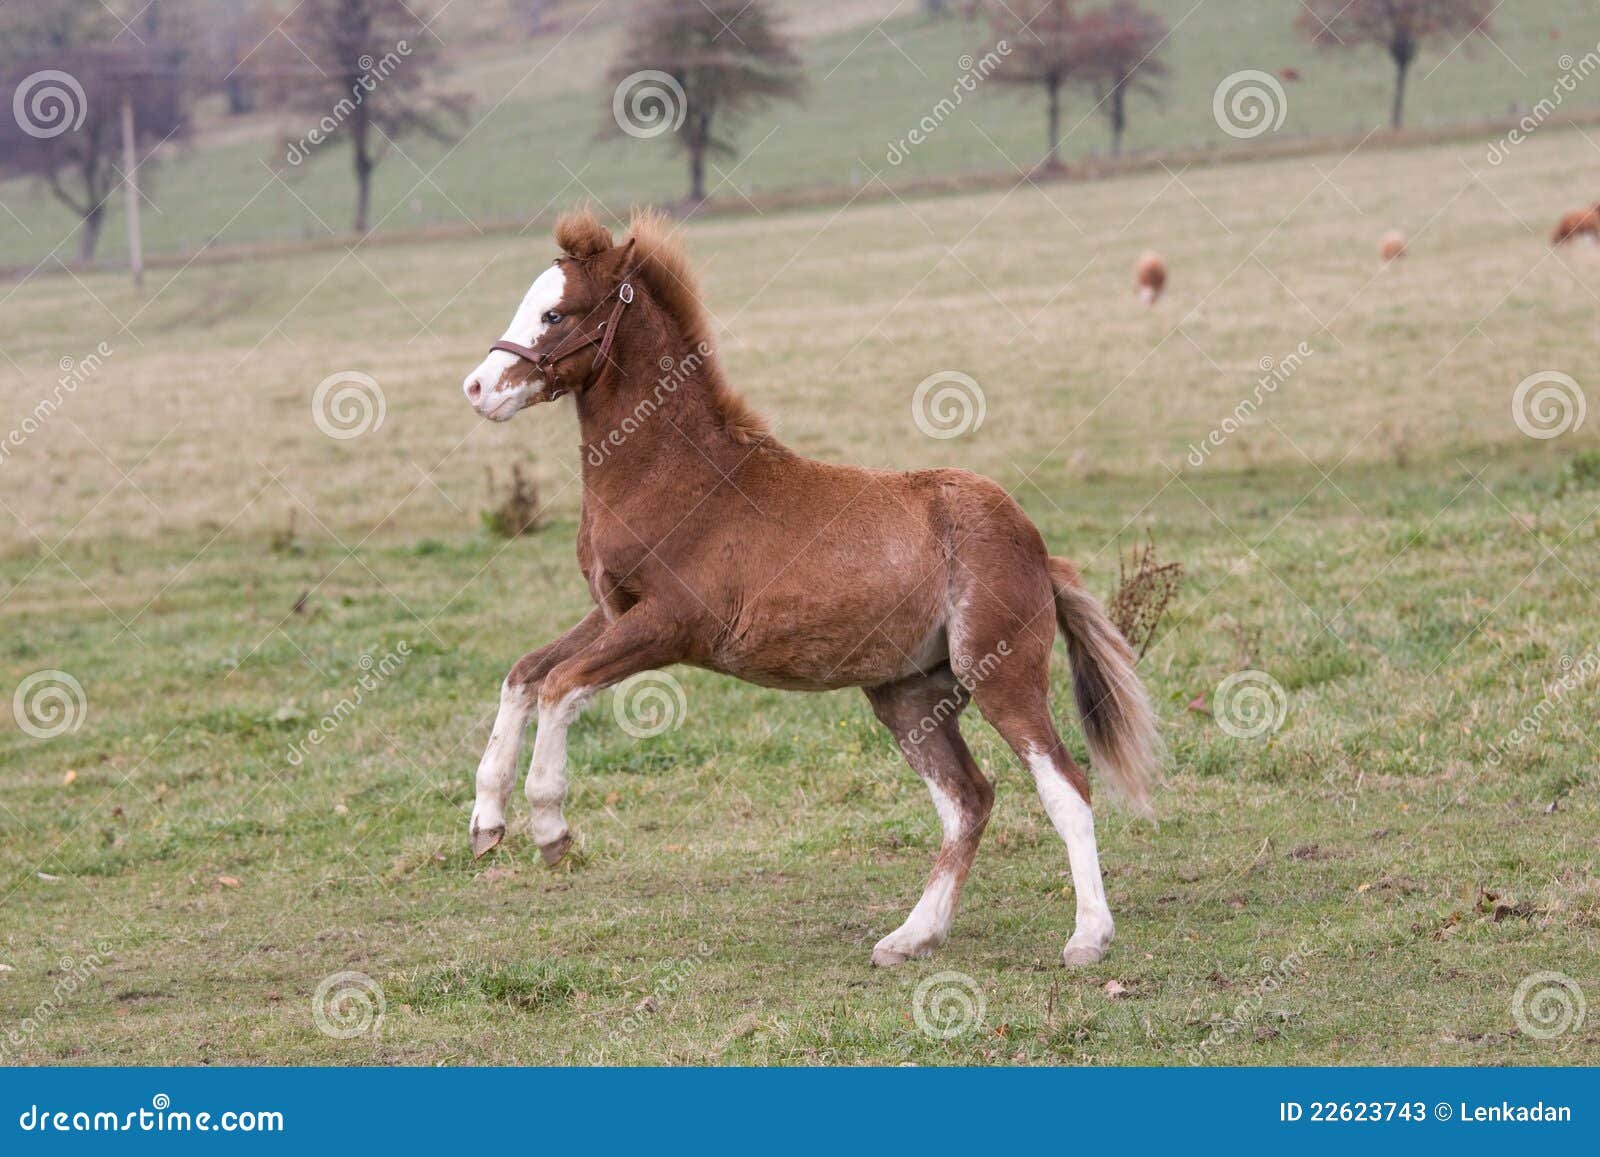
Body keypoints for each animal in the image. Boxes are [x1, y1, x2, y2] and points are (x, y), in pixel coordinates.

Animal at [458, 209, 1160, 968]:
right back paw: (912, 936)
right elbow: (524, 674)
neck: (676, 477)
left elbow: (560, 687)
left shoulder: (670, 625)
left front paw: (550, 828)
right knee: (967, 798)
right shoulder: (613, 612)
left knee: (1065, 784)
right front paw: (486, 821)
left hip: (999, 671)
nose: (478, 388)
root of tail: (1037, 547)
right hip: (907, 694)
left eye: (555, 313)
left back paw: (1088, 936)